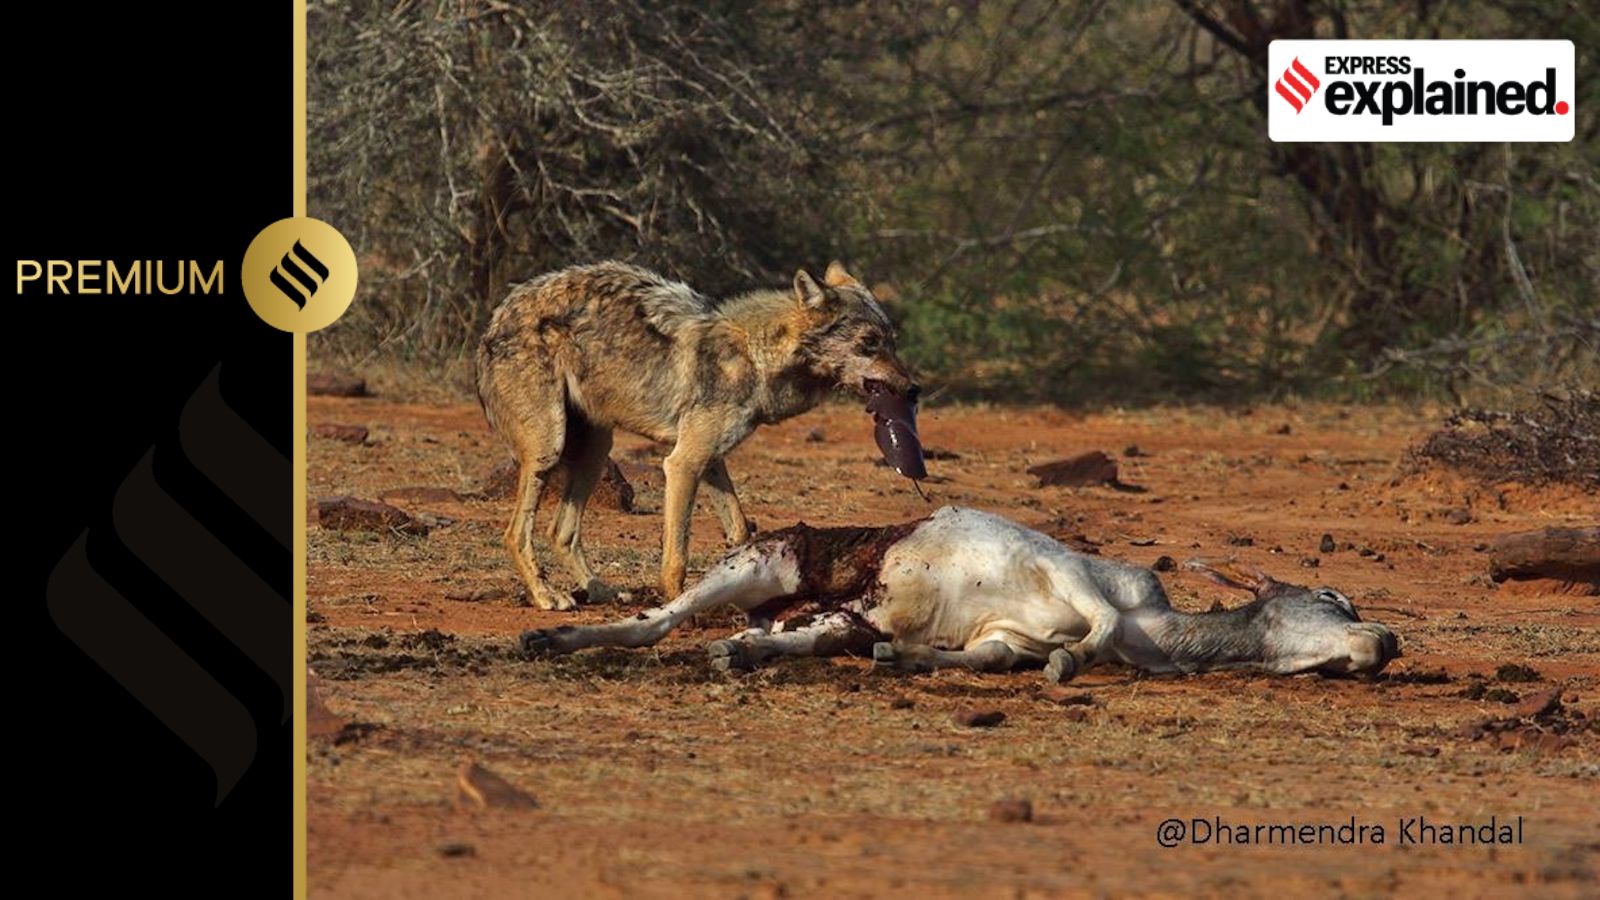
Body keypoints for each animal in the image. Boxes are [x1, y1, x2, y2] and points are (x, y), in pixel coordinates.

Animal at [476, 261, 918, 610]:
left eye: (893, 343)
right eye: (868, 343)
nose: (914, 389)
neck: (755, 357)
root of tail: (493, 322)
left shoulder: (711, 459)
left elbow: (739, 529)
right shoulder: (682, 463)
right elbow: (677, 556)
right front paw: (677, 605)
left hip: (596, 453)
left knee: (561, 532)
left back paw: (601, 591)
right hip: (548, 450)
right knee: (516, 535)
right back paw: (546, 596)